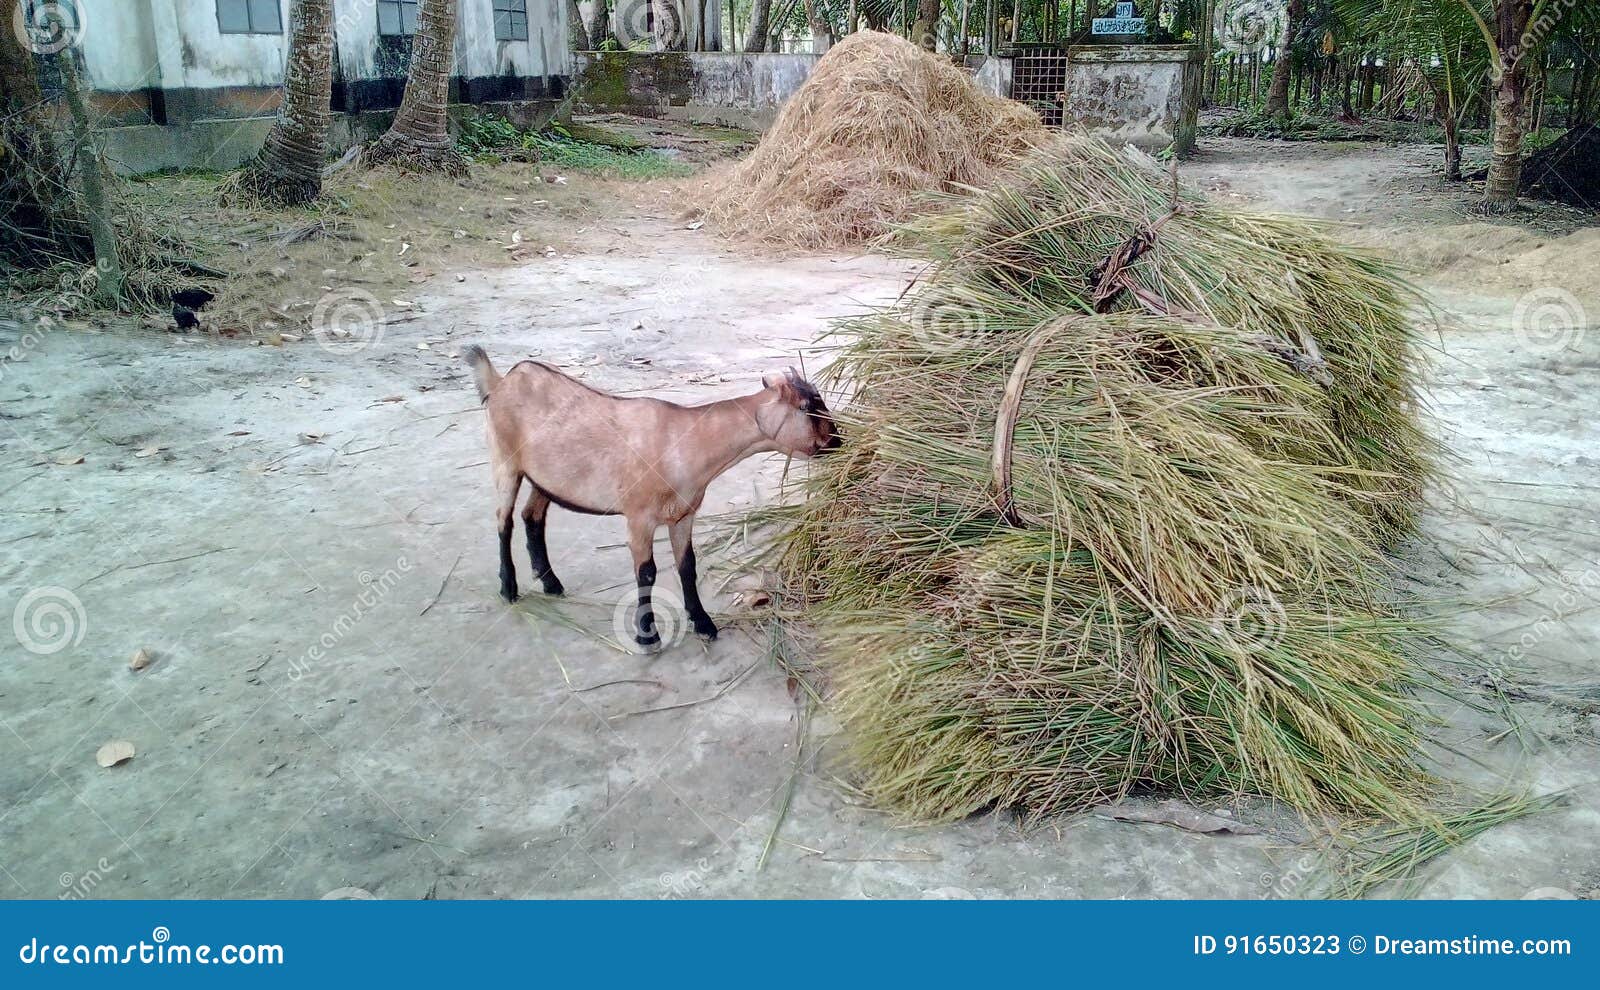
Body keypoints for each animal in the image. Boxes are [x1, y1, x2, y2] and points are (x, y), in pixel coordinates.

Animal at [463, 346, 841, 651]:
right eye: (808, 406)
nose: (838, 442)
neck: (685, 442)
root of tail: (501, 381)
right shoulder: (639, 517)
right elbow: (646, 573)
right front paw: (648, 636)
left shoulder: (684, 514)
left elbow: (687, 566)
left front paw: (703, 624)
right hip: (504, 462)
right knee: (504, 520)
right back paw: (509, 588)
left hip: (546, 478)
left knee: (532, 516)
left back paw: (551, 583)